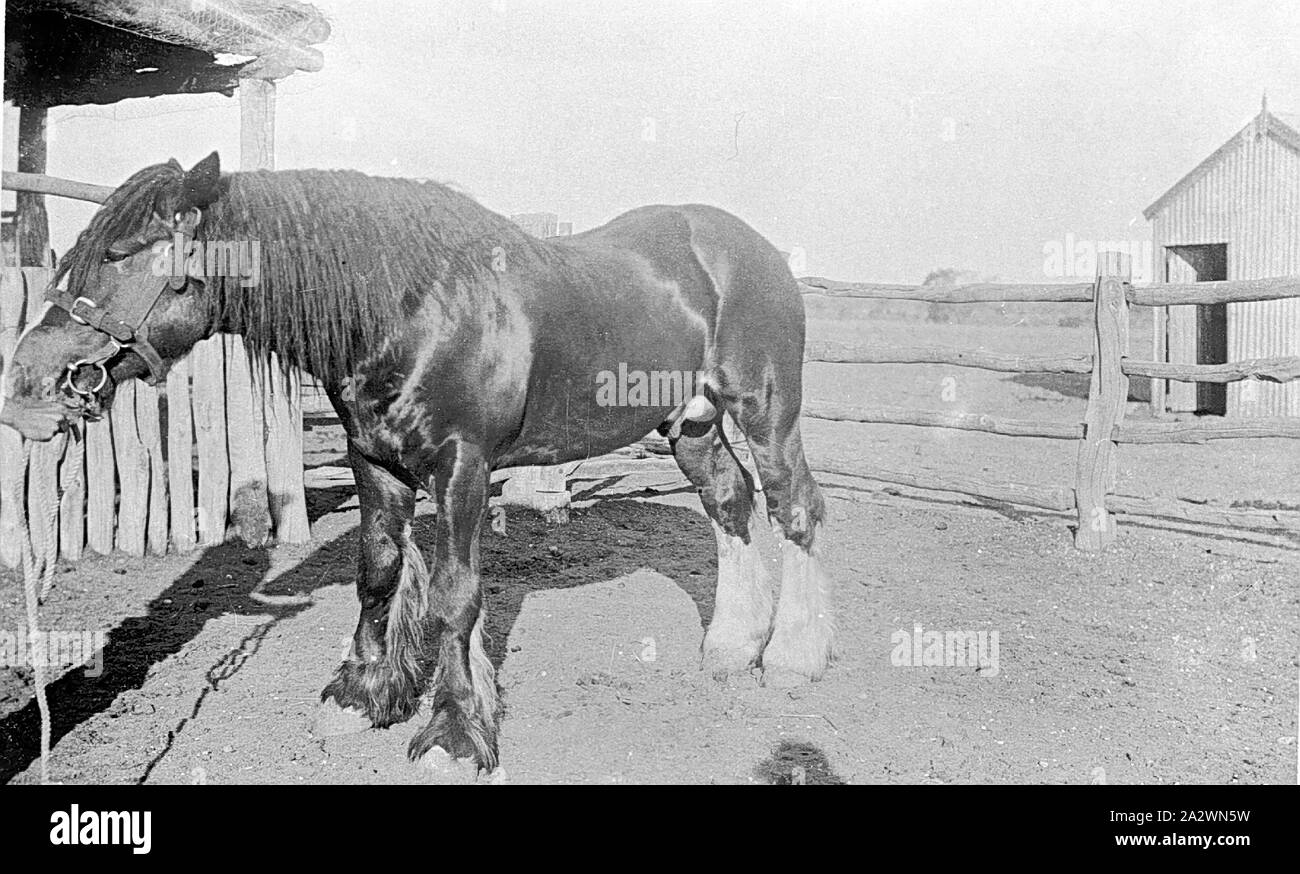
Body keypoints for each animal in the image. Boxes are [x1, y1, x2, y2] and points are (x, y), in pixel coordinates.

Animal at [1, 153, 832, 772]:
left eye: (122, 255)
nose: (28, 381)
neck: (412, 309)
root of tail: (754, 249)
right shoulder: (375, 463)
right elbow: (377, 574)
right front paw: (357, 696)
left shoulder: (464, 467)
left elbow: (455, 596)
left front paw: (454, 734)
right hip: (689, 424)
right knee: (730, 502)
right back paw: (731, 648)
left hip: (766, 412)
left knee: (792, 507)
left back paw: (792, 657)